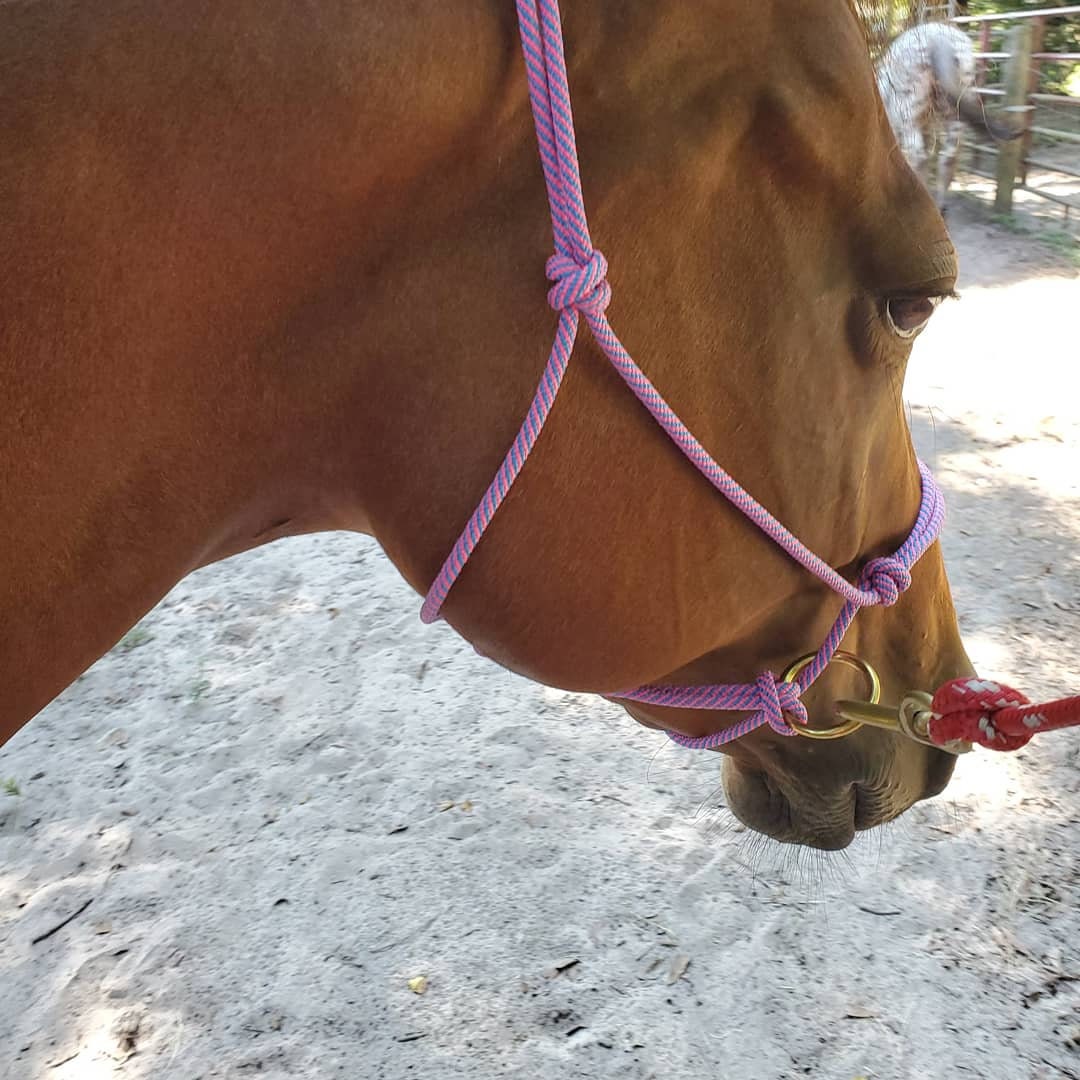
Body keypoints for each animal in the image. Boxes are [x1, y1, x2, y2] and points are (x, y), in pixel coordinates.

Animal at [876, 21, 1020, 211]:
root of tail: (939, 38)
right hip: (954, 112)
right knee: (948, 158)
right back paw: (939, 206)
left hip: (909, 114)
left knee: (919, 157)